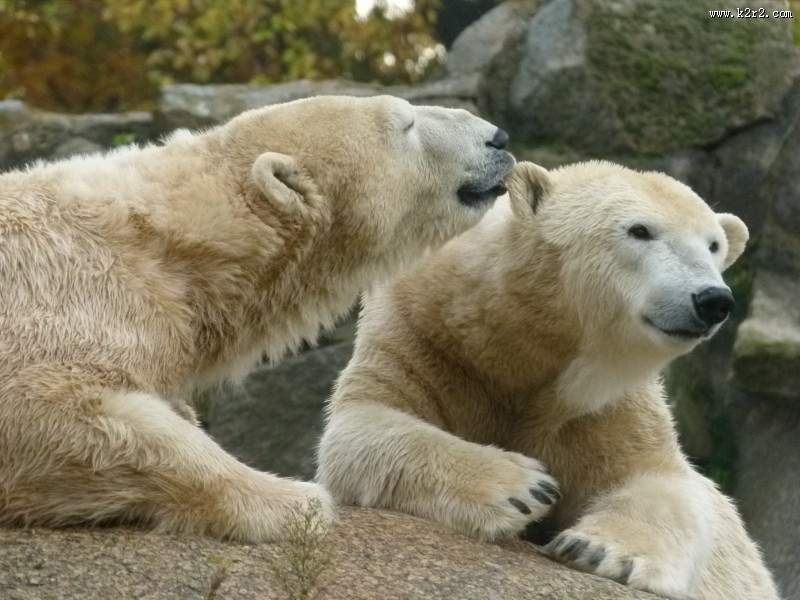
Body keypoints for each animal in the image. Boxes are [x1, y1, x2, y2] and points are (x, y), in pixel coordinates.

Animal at [318, 160, 778, 599]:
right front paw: (525, 488)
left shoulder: (605, 403)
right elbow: (363, 427)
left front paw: (595, 549)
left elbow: (661, 482)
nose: (712, 299)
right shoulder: (421, 335)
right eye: (640, 230)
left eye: (714, 245)